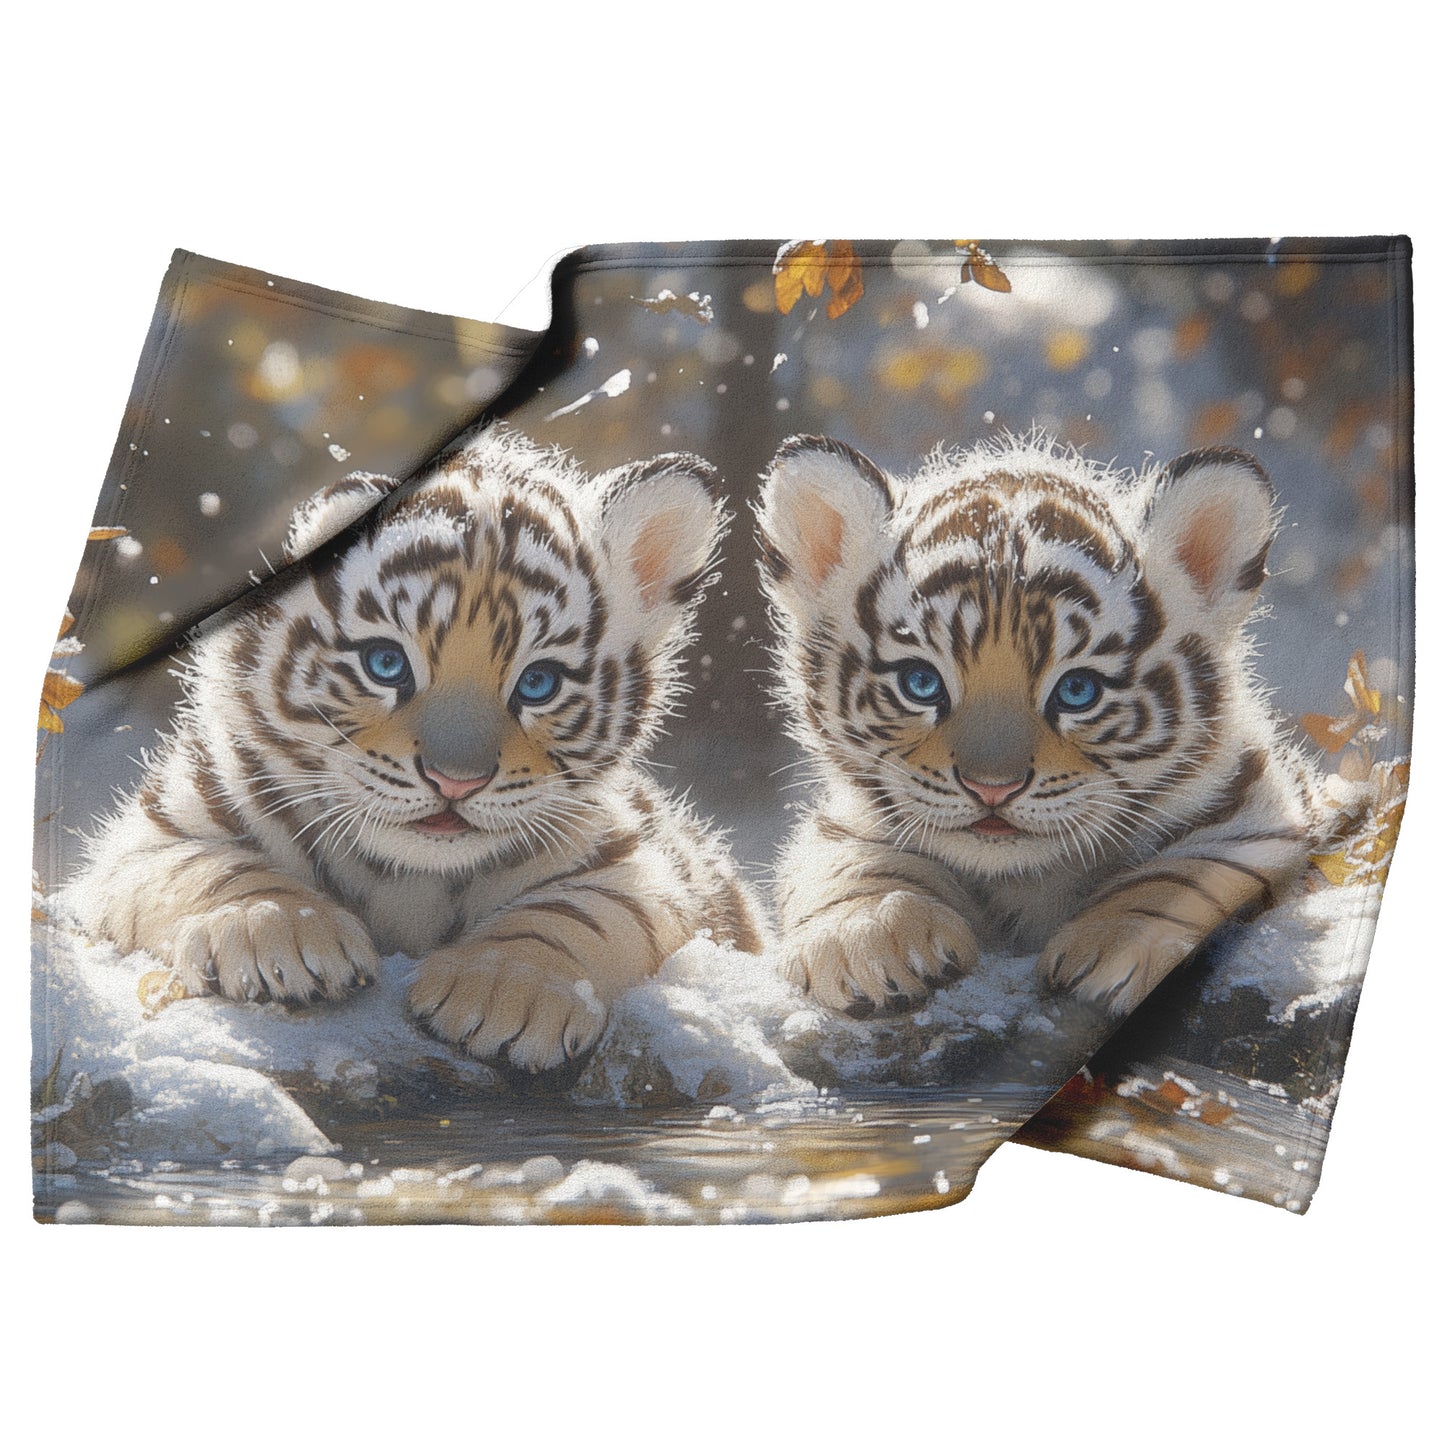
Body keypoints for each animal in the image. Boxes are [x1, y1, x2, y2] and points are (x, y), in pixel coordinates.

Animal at [64, 425, 763, 1073]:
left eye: (538, 683)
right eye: (386, 664)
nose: (455, 782)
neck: (407, 879)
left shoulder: (644, 866)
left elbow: (579, 910)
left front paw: (505, 988)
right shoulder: (149, 836)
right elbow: (211, 869)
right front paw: (274, 930)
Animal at [757, 431, 1323, 1019]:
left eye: (1077, 691)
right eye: (921, 682)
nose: (991, 788)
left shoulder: (1259, 811)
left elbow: (1189, 874)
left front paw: (1118, 948)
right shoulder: (847, 822)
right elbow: (847, 864)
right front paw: (870, 936)